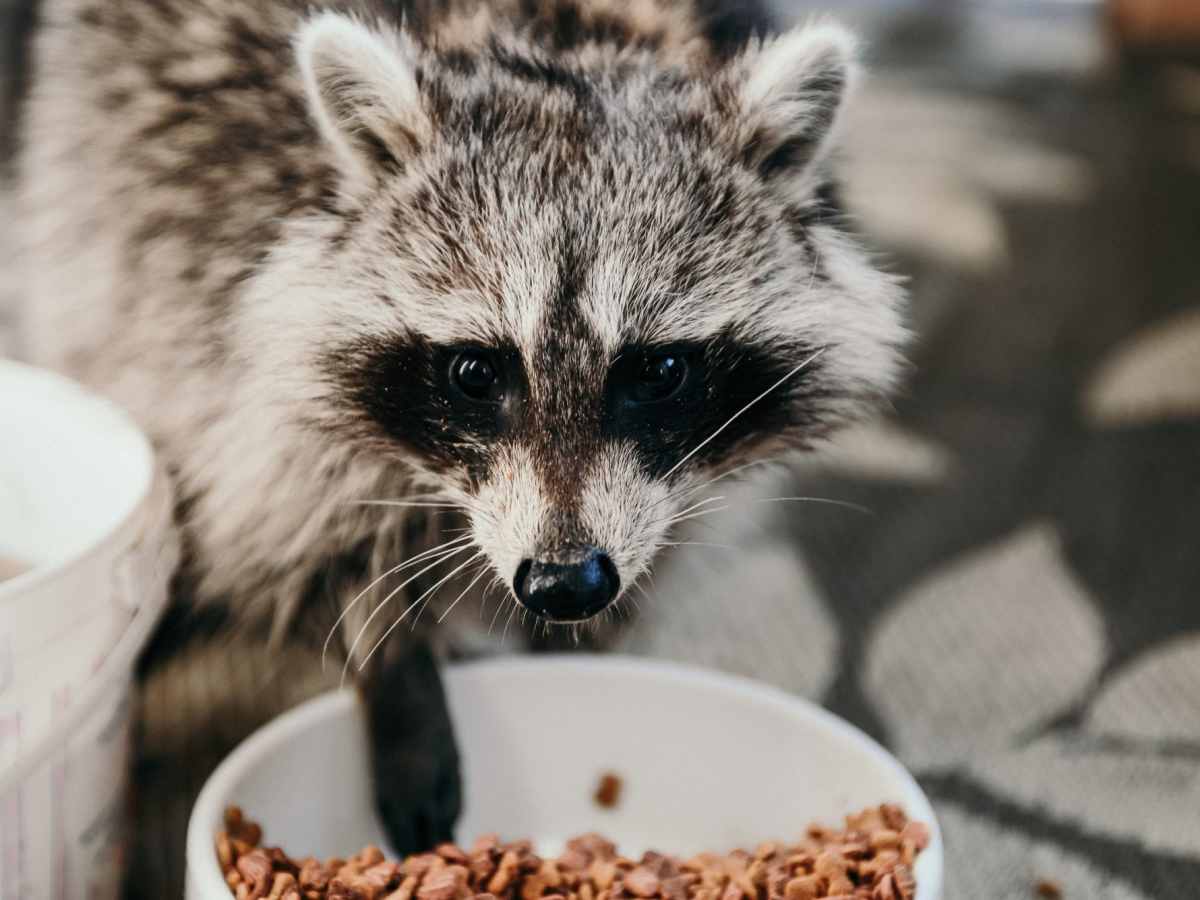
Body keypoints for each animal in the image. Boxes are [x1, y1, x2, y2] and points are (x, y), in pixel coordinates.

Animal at [16, 0, 906, 852]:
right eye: (477, 373)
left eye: (659, 372)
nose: (566, 585)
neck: (563, 39)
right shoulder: (206, 274)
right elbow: (287, 509)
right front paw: (392, 652)